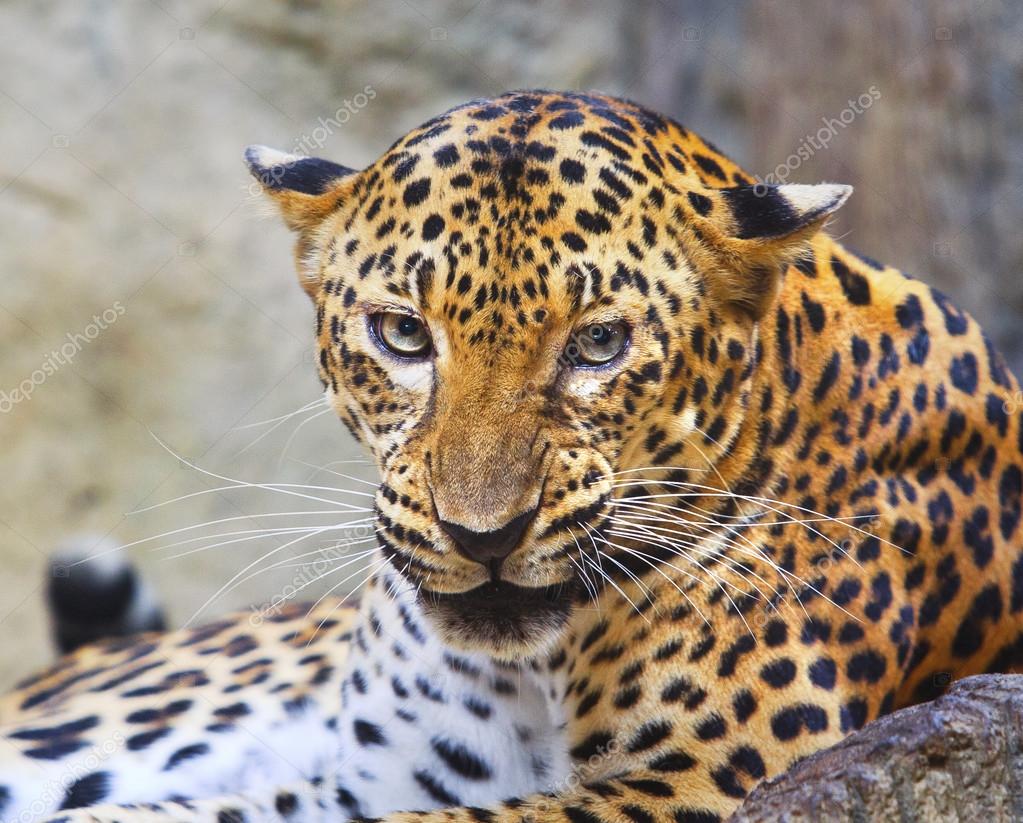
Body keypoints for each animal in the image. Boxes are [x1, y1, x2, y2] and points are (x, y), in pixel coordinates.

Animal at [2, 89, 1022, 823]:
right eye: (403, 334)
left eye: (598, 343)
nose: (482, 536)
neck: (537, 668)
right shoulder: (376, 776)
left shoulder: (695, 785)